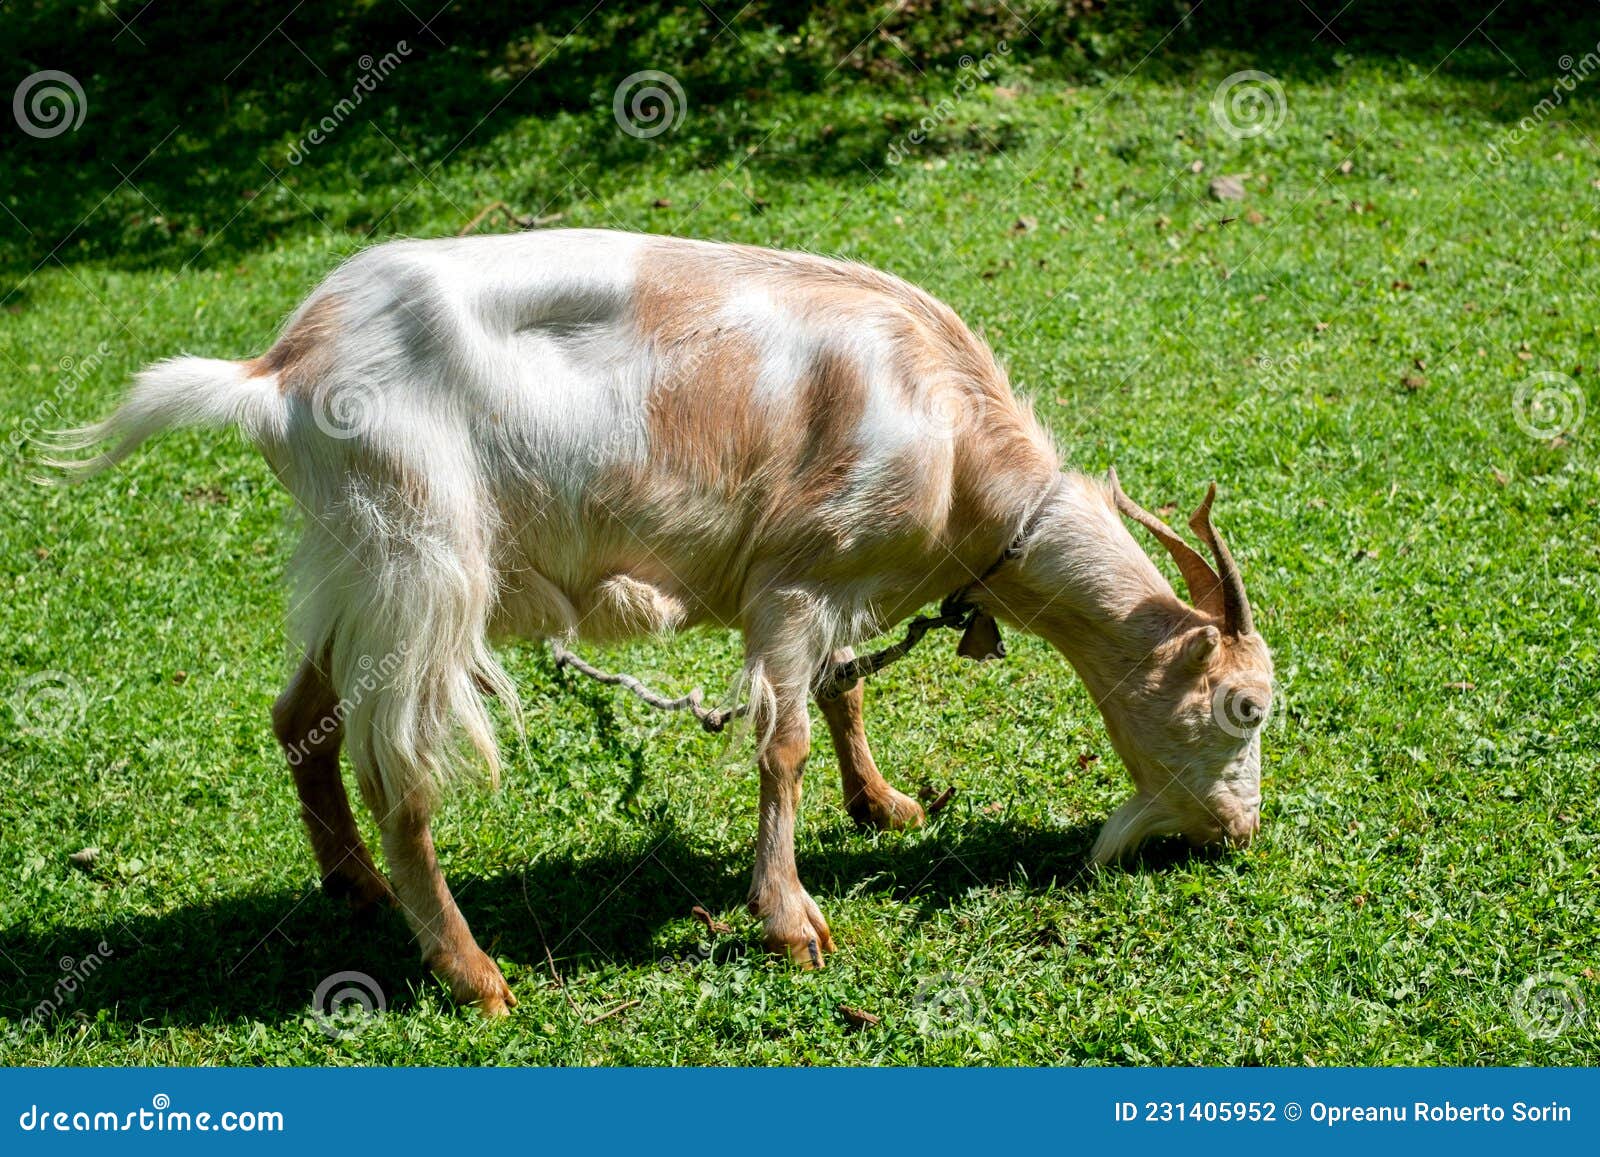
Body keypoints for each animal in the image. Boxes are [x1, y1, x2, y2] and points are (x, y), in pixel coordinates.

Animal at [52, 229, 1274, 1014]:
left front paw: (883, 803)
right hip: (422, 564)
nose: (1240, 832)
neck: (956, 445)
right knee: (401, 776)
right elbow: (782, 741)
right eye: (1244, 706)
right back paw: (476, 977)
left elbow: (845, 690)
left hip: (350, 563)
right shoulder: (794, 580)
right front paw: (792, 920)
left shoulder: (840, 583)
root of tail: (279, 371)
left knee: (299, 714)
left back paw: (352, 884)